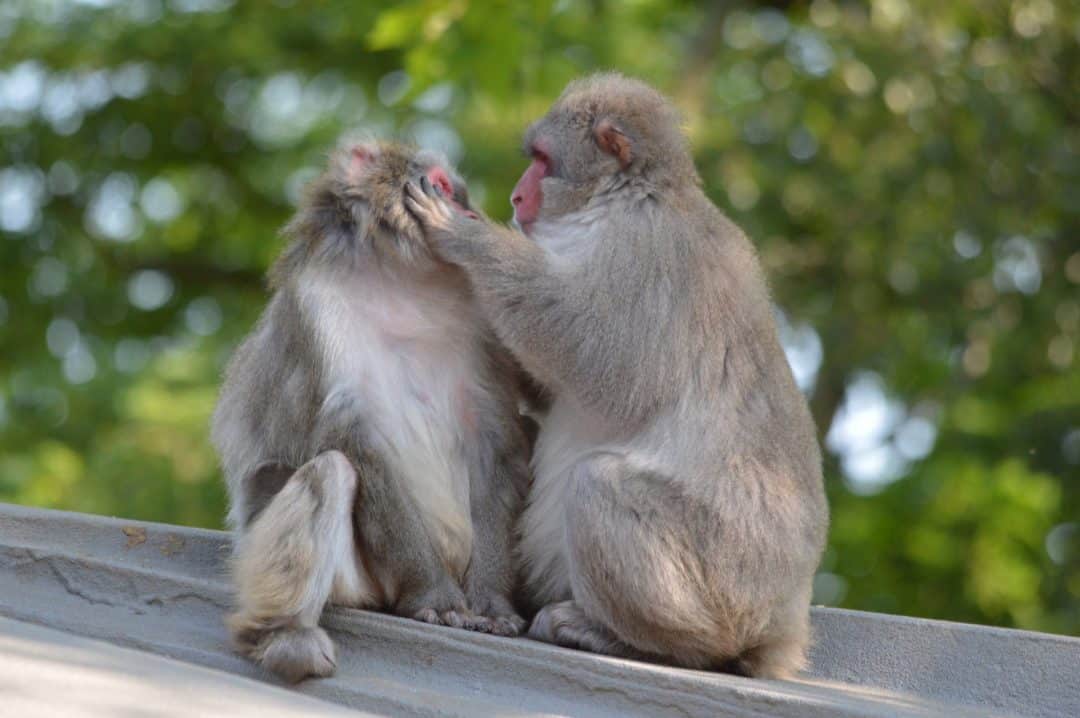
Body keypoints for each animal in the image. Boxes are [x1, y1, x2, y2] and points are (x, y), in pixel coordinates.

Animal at [211, 138, 529, 683]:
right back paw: (282, 636)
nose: (470, 214)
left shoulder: (480, 319)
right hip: (359, 581)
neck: (403, 281)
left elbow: (493, 439)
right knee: (329, 474)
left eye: (460, 193)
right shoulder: (316, 310)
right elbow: (352, 435)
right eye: (442, 186)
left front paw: (491, 603)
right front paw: (434, 596)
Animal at [404, 73, 828, 679]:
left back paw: (657, 643)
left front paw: (466, 236)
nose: (515, 198)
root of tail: (784, 622)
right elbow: (553, 384)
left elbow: (604, 361)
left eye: (541, 160)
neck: (621, 197)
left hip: (726, 579)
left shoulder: (646, 251)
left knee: (597, 485)